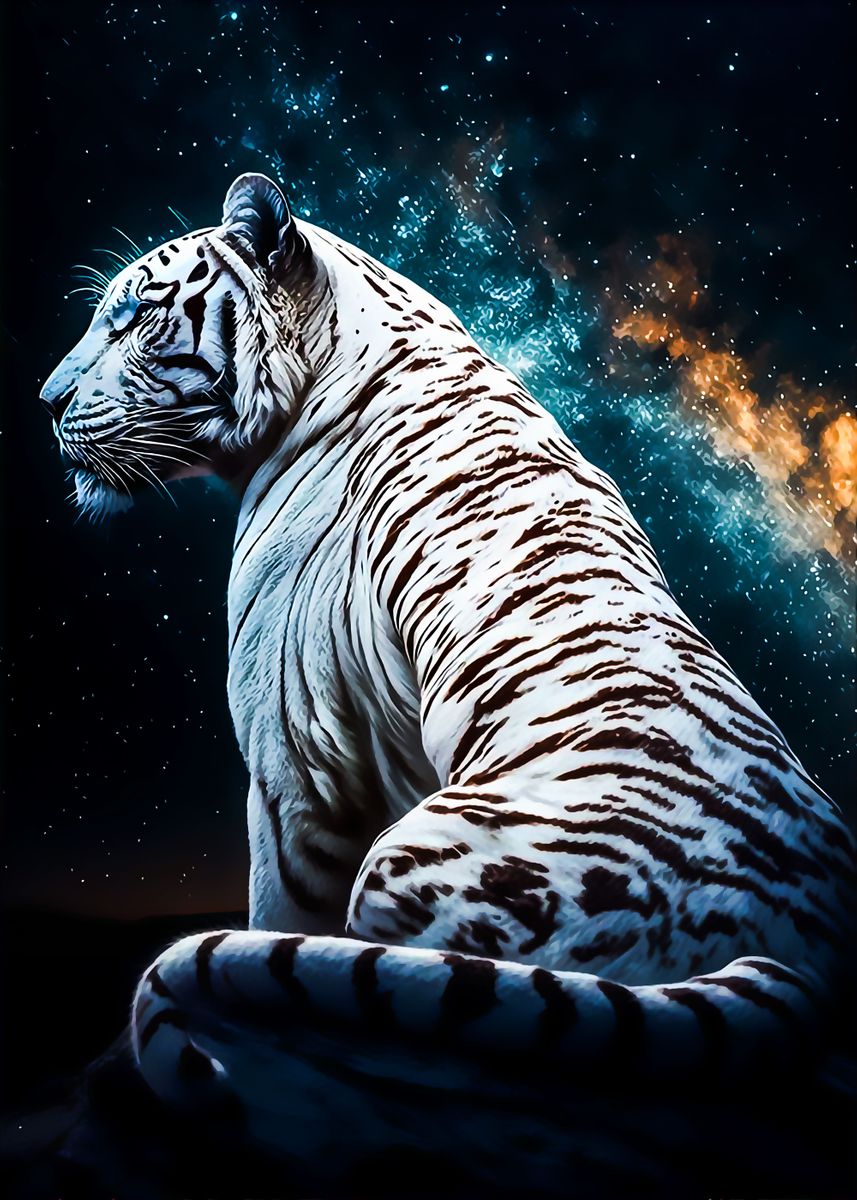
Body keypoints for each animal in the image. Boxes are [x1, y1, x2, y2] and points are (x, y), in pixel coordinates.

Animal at [41, 172, 854, 1193]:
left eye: (138, 314)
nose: (43, 401)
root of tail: (816, 960)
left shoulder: (290, 765)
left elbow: (279, 906)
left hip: (412, 865)